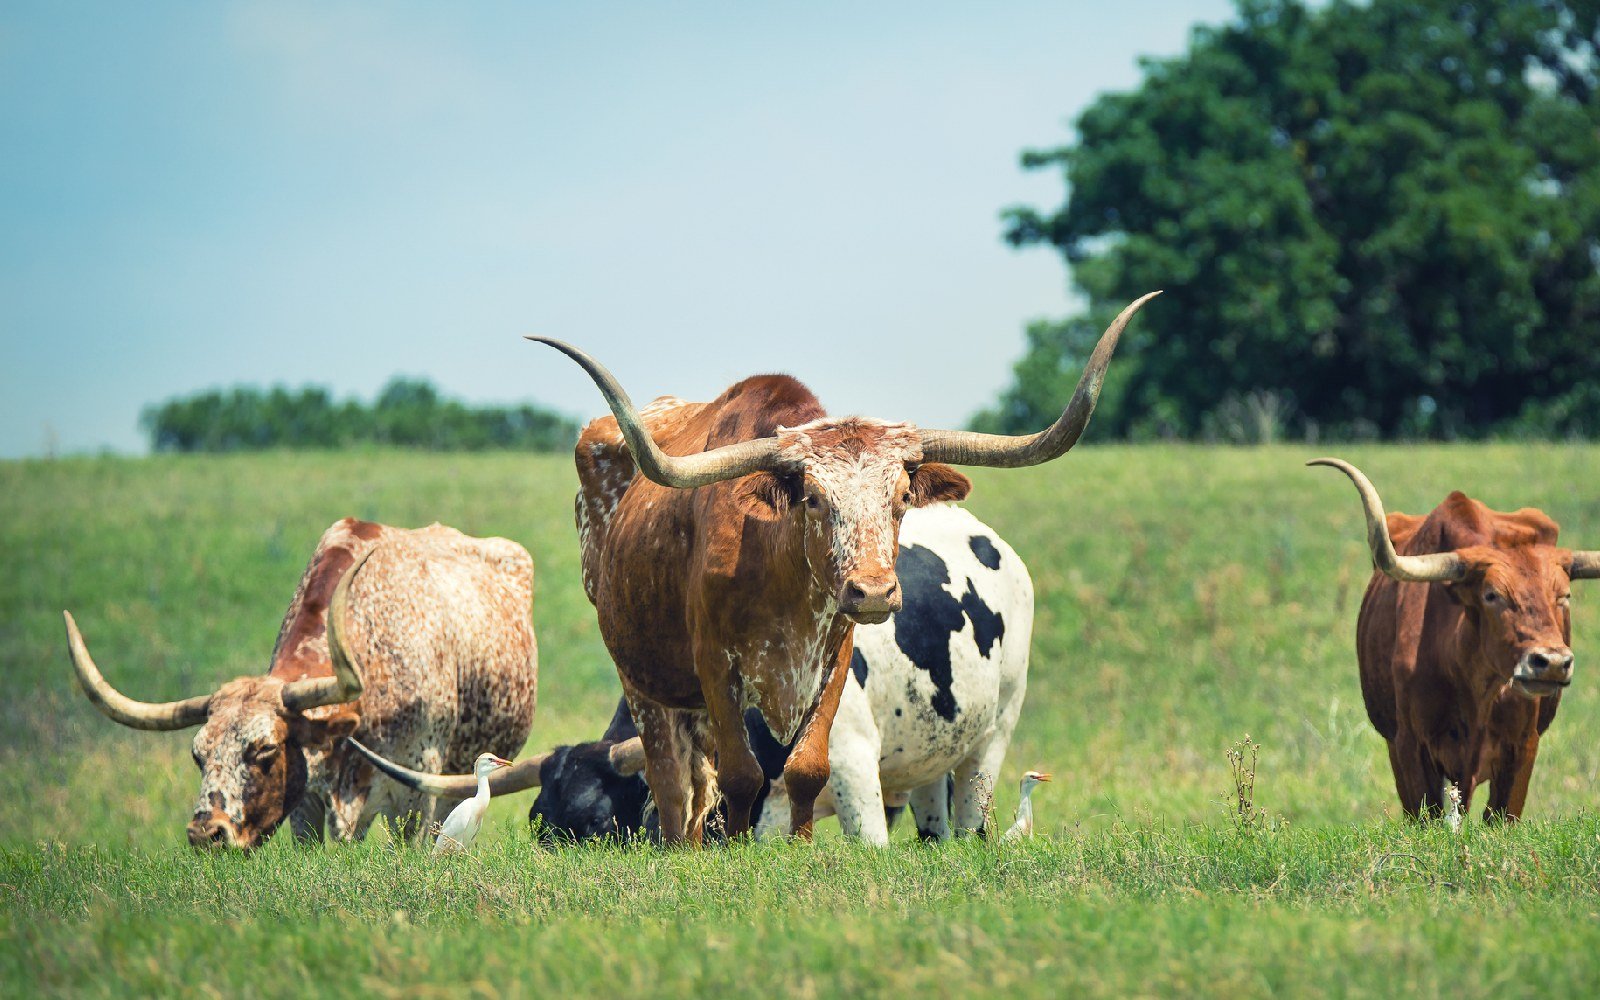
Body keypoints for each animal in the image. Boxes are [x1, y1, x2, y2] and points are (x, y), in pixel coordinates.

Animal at [356, 504, 1034, 846]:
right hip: (932, 750)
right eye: (539, 824)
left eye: (600, 825)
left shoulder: (851, 764)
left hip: (997, 727)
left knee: (972, 810)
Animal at [520, 295, 1154, 849]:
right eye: (814, 499)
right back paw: (682, 847)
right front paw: (731, 855)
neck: (775, 572)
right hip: (642, 676)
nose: (872, 591)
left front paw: (797, 852)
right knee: (674, 780)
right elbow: (738, 776)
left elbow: (806, 767)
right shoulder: (716, 668)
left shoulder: (834, 663)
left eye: (901, 497)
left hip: (994, 727)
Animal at [1311, 458, 1600, 821]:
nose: (1551, 663)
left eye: (1564, 595)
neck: (1473, 683)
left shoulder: (1522, 747)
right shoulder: (1409, 747)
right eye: (1491, 595)